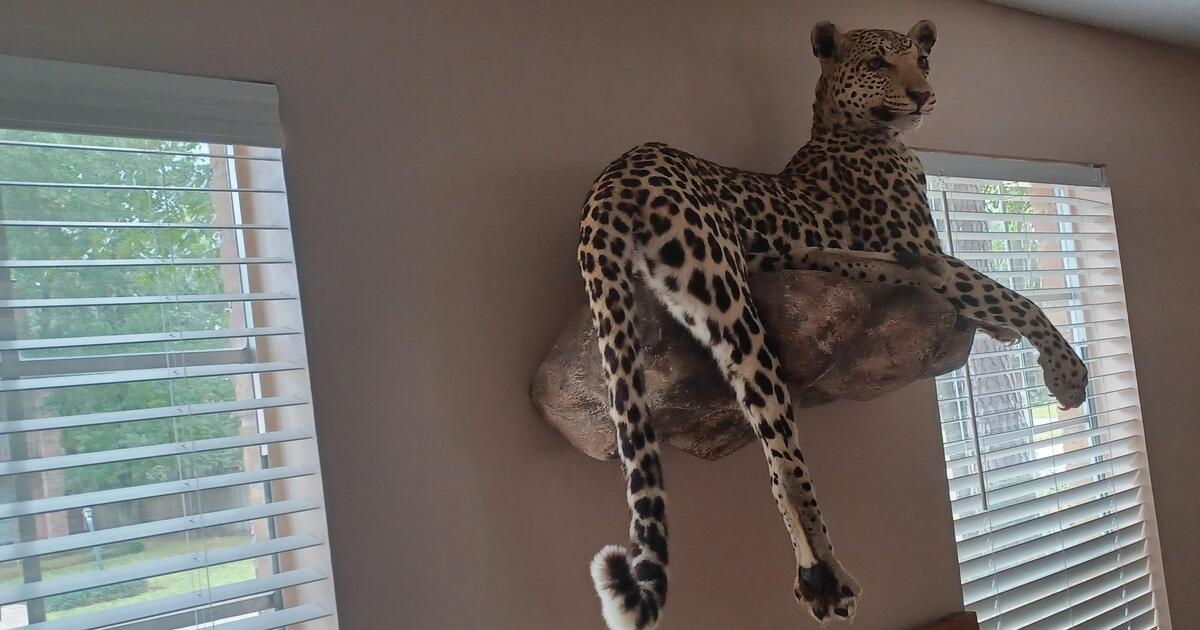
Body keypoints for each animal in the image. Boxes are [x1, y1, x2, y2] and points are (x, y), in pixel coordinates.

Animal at [576, 19, 1088, 630]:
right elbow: (1014, 299)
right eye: (878, 64)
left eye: (922, 60)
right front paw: (1067, 374)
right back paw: (826, 578)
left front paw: (1012, 338)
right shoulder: (930, 249)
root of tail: (614, 177)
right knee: (782, 451)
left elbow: (991, 302)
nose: (923, 95)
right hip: (728, 293)